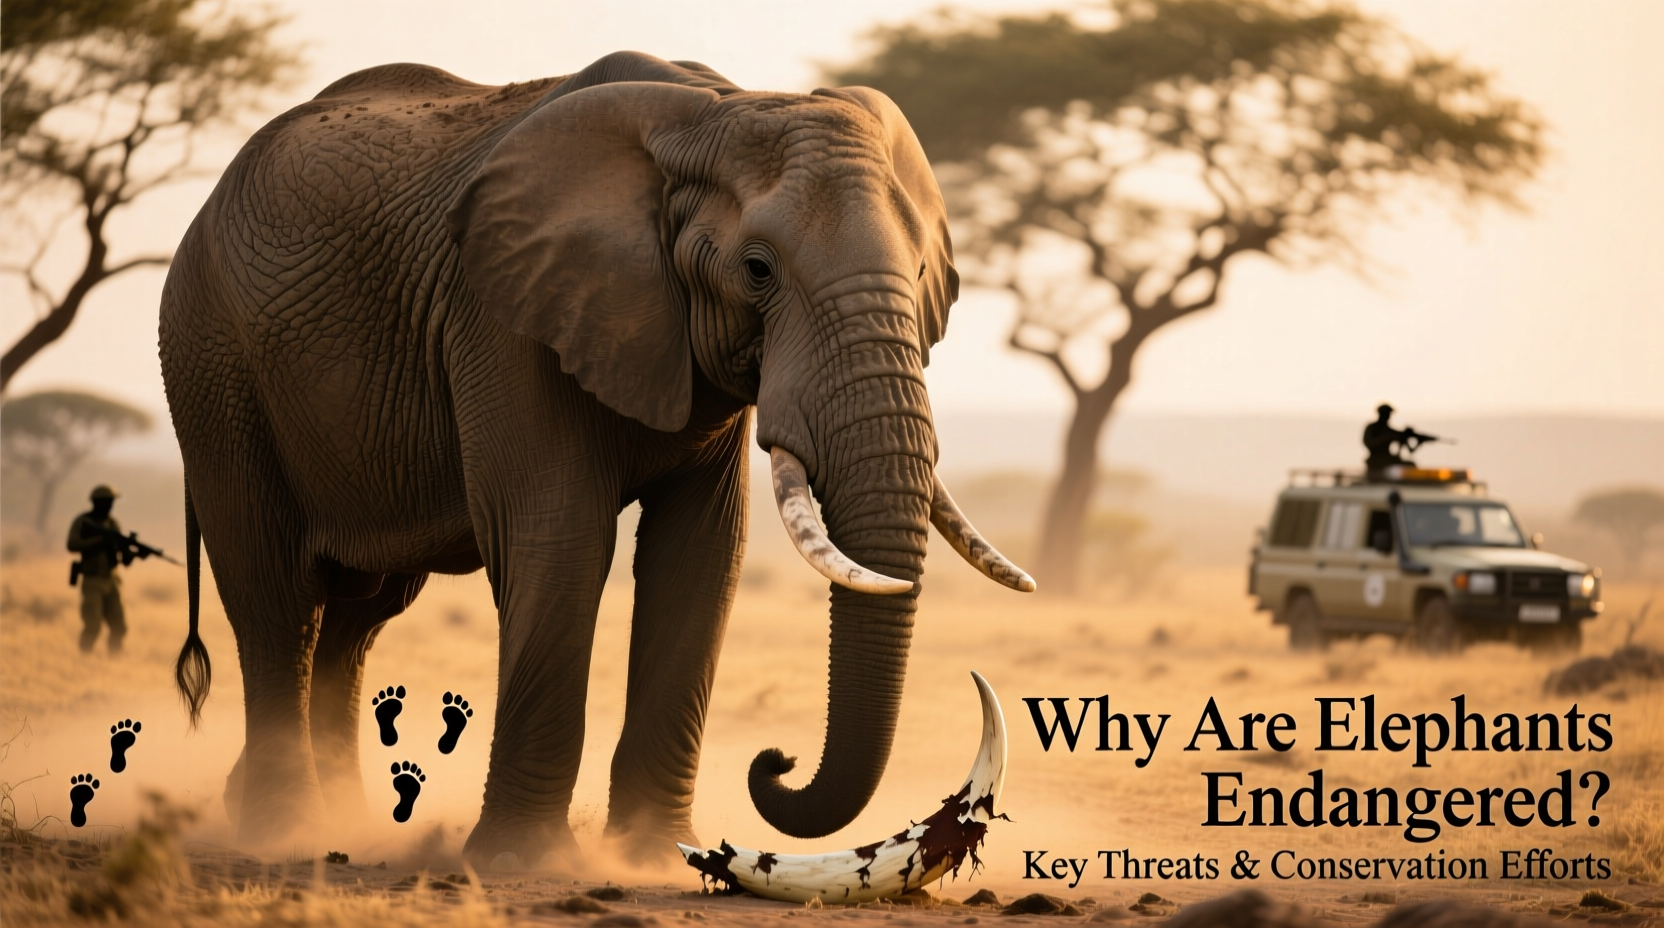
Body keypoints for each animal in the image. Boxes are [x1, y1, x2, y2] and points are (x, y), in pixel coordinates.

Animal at [159, 50, 1031, 868]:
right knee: (278, 601)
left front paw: (659, 854)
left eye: (922, 275)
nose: (773, 763)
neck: (714, 109)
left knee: (358, 619)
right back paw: (282, 831)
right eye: (757, 270)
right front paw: (522, 861)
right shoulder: (503, 317)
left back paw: (339, 823)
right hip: (212, 364)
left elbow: (701, 554)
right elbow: (561, 538)